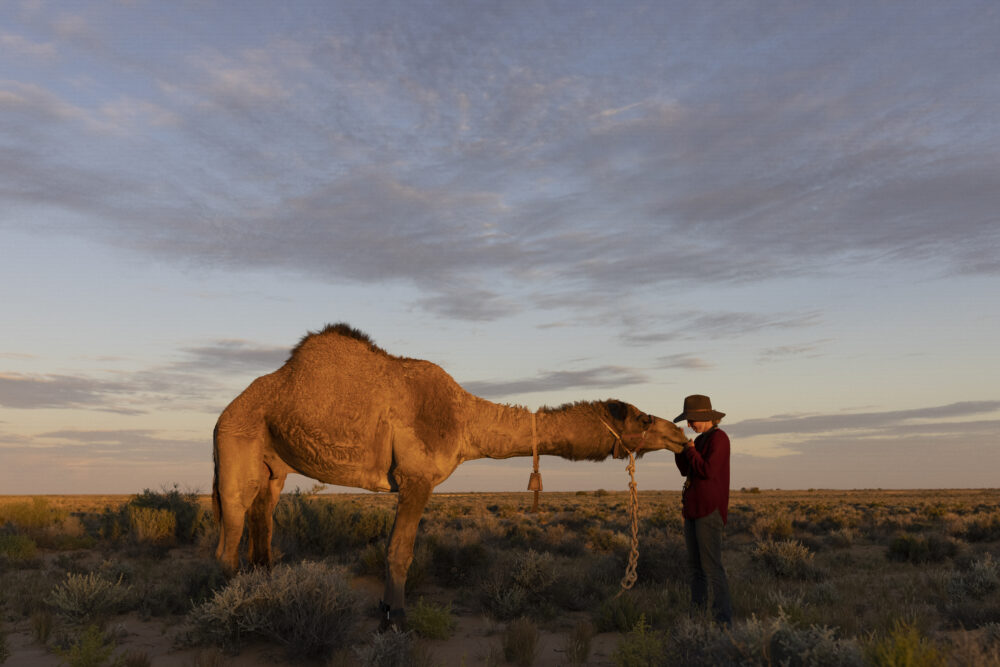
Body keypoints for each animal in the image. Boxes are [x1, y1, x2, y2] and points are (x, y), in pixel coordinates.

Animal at [212, 323, 689, 628]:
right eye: (643, 418)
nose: (679, 435)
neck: (463, 419)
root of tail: (224, 413)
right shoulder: (416, 478)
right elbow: (399, 551)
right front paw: (397, 617)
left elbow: (394, 548)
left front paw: (387, 609)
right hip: (236, 444)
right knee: (230, 531)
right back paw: (228, 604)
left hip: (273, 466)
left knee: (262, 523)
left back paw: (263, 587)